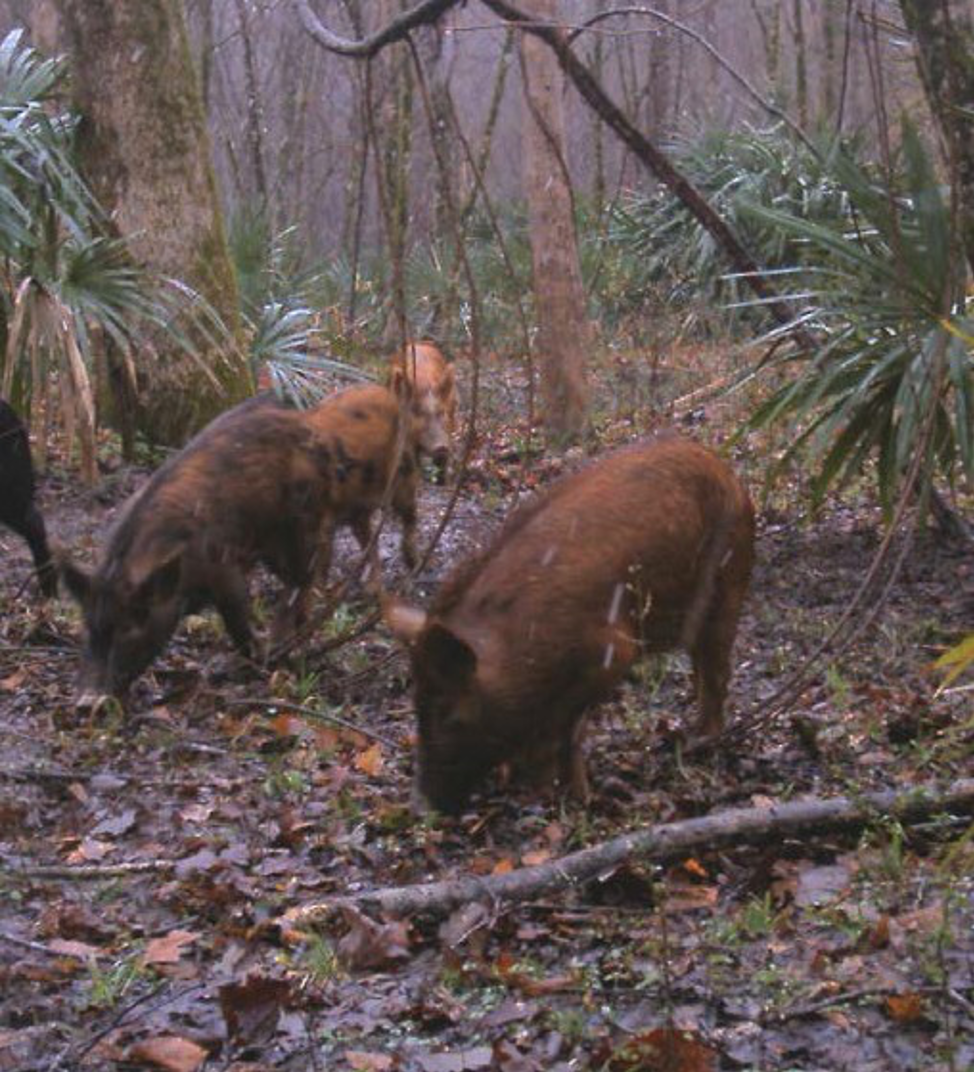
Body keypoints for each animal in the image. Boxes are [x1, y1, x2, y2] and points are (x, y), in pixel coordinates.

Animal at [384, 434, 755, 814]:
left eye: (449, 716)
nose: (420, 807)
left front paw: (577, 799)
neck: (518, 646)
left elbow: (567, 731)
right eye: (416, 706)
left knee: (717, 673)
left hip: (729, 584)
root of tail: (727, 472)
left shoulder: (613, 653)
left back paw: (699, 742)